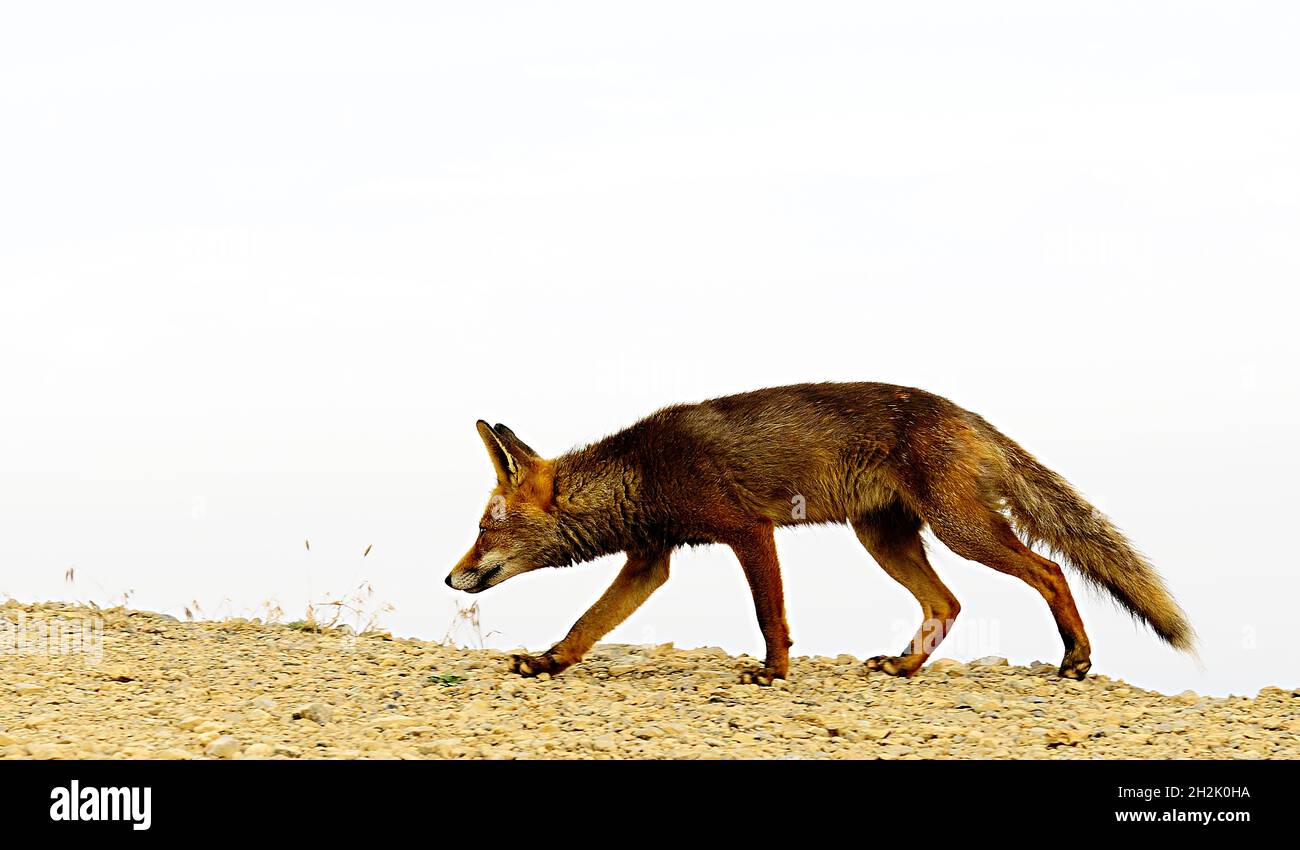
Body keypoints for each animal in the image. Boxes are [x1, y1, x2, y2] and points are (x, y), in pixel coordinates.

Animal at [446, 382, 1194, 685]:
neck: (643, 474)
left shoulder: (748, 531)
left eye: (483, 528)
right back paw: (904, 668)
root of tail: (965, 412)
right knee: (948, 603)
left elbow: (770, 616)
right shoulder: (650, 560)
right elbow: (586, 625)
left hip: (962, 532)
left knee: (1052, 570)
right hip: (884, 539)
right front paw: (547, 663)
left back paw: (1076, 658)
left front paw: (774, 674)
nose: (449, 577)